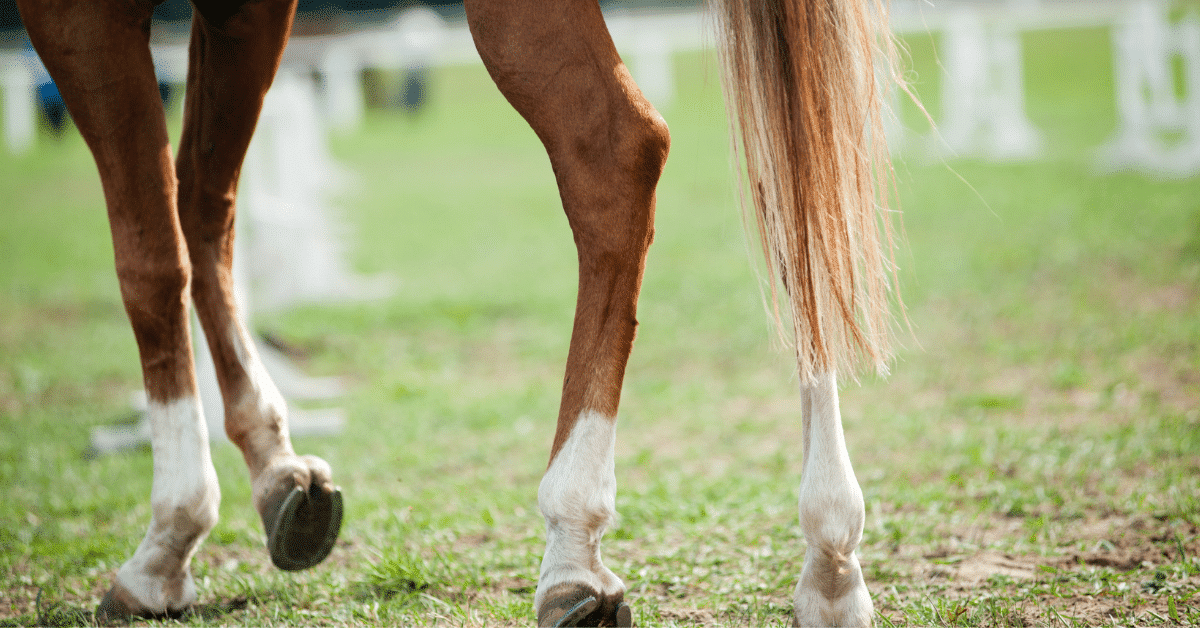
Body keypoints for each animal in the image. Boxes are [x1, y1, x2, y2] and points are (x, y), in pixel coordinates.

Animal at [16, 0, 901, 625]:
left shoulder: (85, 8)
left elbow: (149, 254)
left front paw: (169, 536)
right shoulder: (243, 4)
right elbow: (205, 210)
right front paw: (277, 470)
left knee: (615, 152)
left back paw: (571, 541)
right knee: (795, 181)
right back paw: (831, 556)